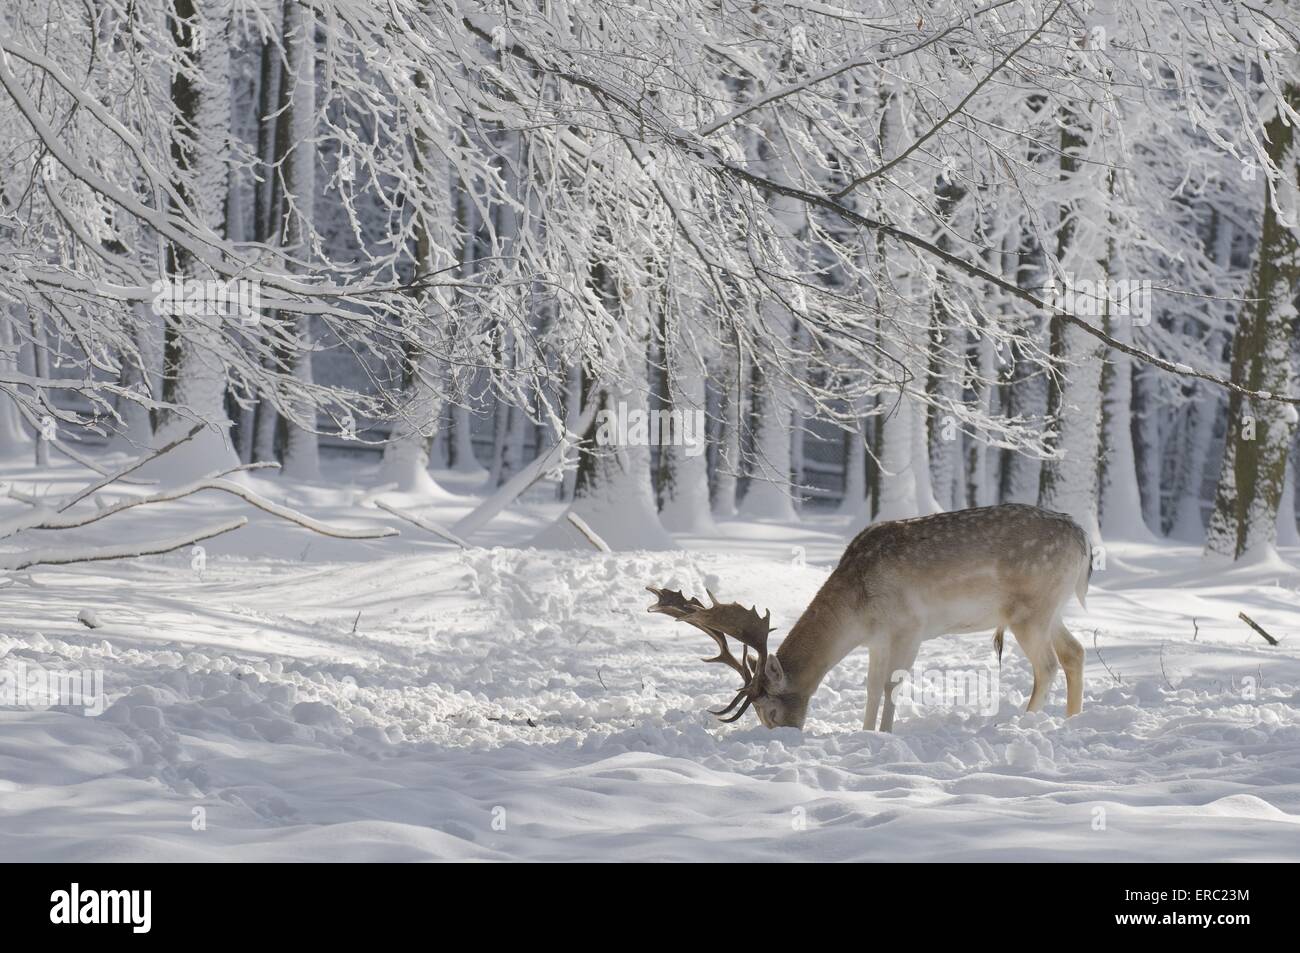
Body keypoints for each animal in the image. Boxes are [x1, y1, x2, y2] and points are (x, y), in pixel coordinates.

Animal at [646, 503, 1091, 731]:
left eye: (769, 711)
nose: (783, 738)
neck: (859, 611)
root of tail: (1084, 539)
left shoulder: (911, 627)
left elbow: (893, 686)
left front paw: (886, 736)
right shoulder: (878, 639)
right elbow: (872, 688)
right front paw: (865, 734)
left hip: (1031, 609)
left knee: (1047, 665)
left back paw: (1024, 724)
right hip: (1052, 609)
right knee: (1075, 652)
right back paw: (1072, 721)